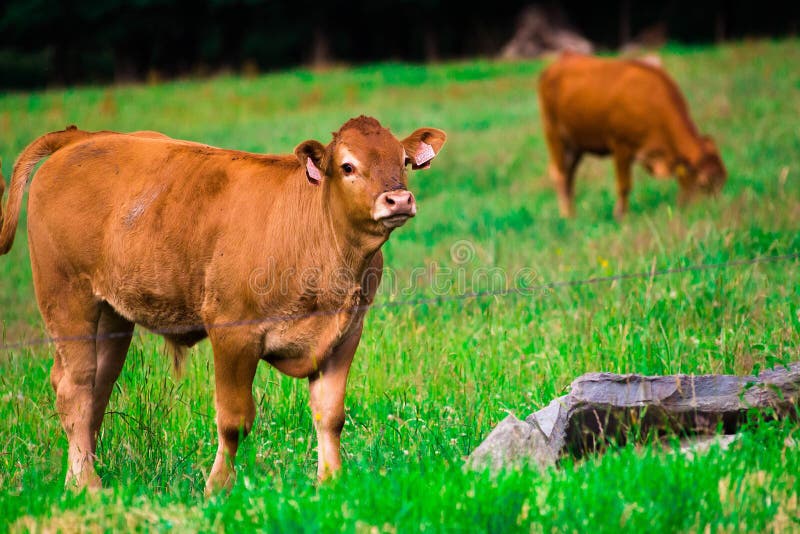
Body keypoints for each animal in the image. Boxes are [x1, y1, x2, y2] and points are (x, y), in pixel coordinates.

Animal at [0, 116, 446, 494]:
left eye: (403, 161)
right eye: (348, 166)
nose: (398, 199)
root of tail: (83, 137)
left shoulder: (345, 334)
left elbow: (330, 415)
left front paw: (331, 483)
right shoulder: (234, 333)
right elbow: (234, 420)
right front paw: (217, 487)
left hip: (112, 315)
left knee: (98, 386)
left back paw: (79, 477)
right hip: (66, 297)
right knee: (74, 388)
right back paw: (88, 486)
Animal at [538, 52, 727, 219]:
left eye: (723, 182)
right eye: (703, 183)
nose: (710, 212)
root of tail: (556, 64)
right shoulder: (621, 146)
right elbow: (624, 185)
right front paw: (621, 216)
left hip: (576, 145)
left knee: (570, 175)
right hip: (554, 134)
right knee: (560, 174)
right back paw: (567, 216)